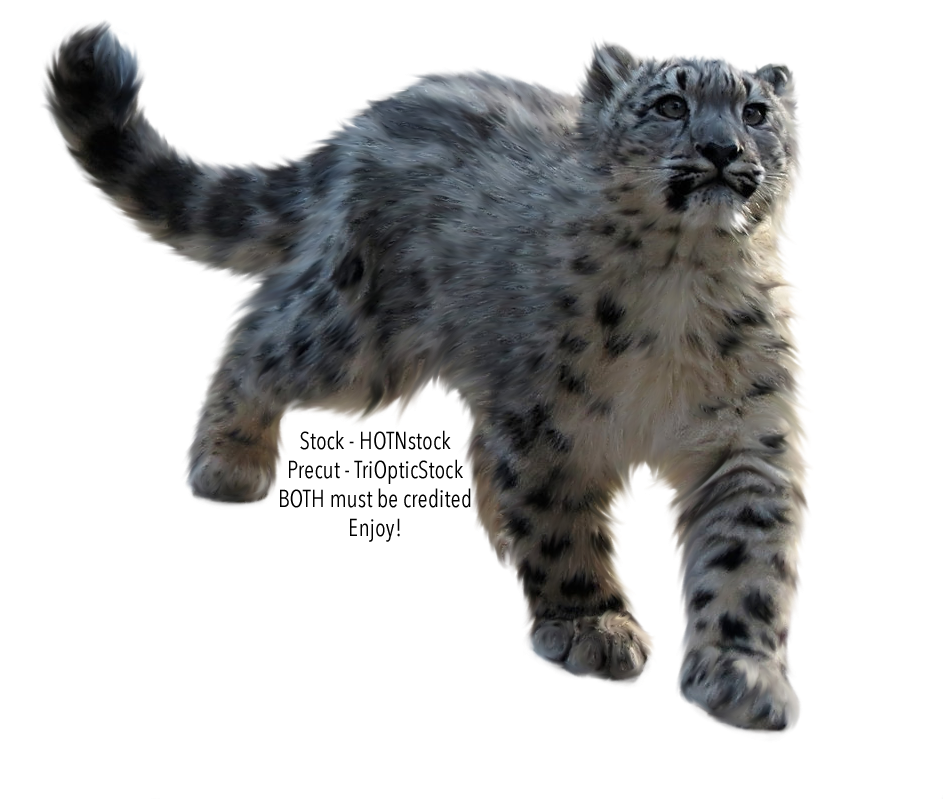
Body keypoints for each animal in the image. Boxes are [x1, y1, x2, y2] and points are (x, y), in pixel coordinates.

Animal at [40, 20, 811, 740]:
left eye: (754, 113)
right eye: (670, 104)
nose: (721, 149)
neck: (684, 283)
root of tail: (352, 128)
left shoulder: (746, 434)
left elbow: (745, 556)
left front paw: (743, 676)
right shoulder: (547, 420)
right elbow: (561, 523)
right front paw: (592, 627)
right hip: (357, 338)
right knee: (260, 332)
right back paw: (231, 465)